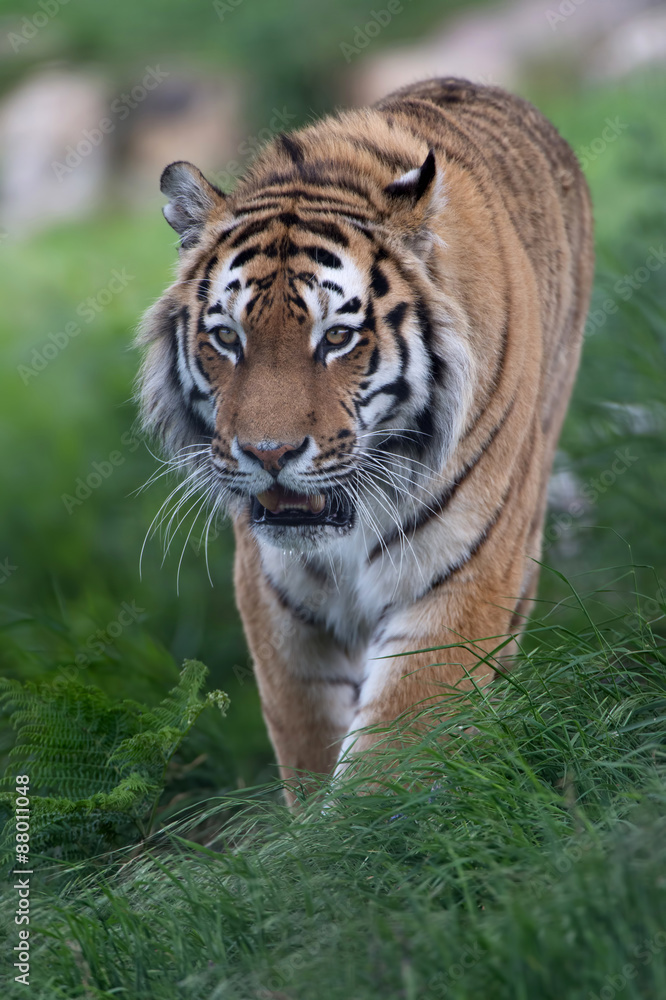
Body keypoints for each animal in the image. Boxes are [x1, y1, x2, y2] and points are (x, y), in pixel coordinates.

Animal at [137, 77, 594, 803]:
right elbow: (307, 739)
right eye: (227, 338)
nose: (268, 455)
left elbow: (393, 757)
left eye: (338, 338)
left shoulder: (463, 578)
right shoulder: (277, 599)